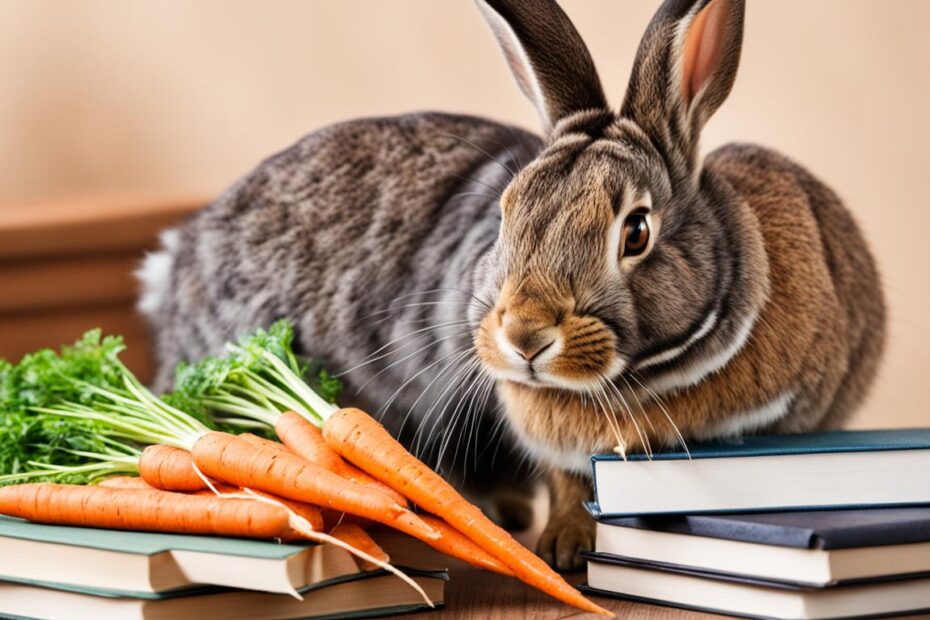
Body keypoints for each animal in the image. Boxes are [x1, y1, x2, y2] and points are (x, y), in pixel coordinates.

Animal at [139, 0, 885, 571]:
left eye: (637, 232)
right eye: (505, 214)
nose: (525, 335)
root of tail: (175, 265)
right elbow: (569, 485)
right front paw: (563, 549)